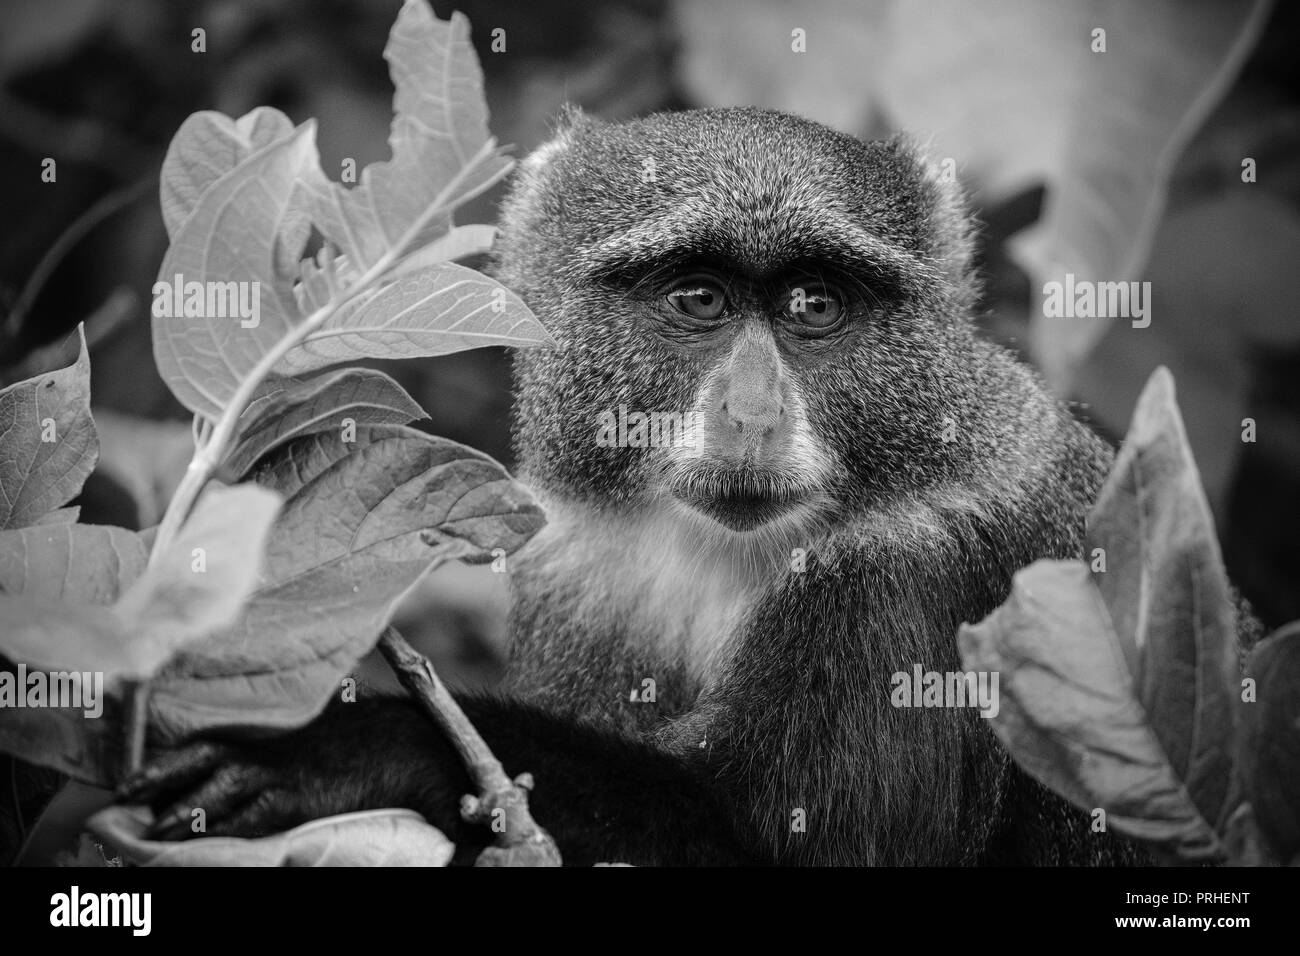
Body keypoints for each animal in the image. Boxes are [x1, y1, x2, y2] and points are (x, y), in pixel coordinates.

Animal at [122, 106, 1154, 866]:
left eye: (814, 305)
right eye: (698, 297)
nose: (752, 413)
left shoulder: (915, 575)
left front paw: (350, 751)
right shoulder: (577, 570)